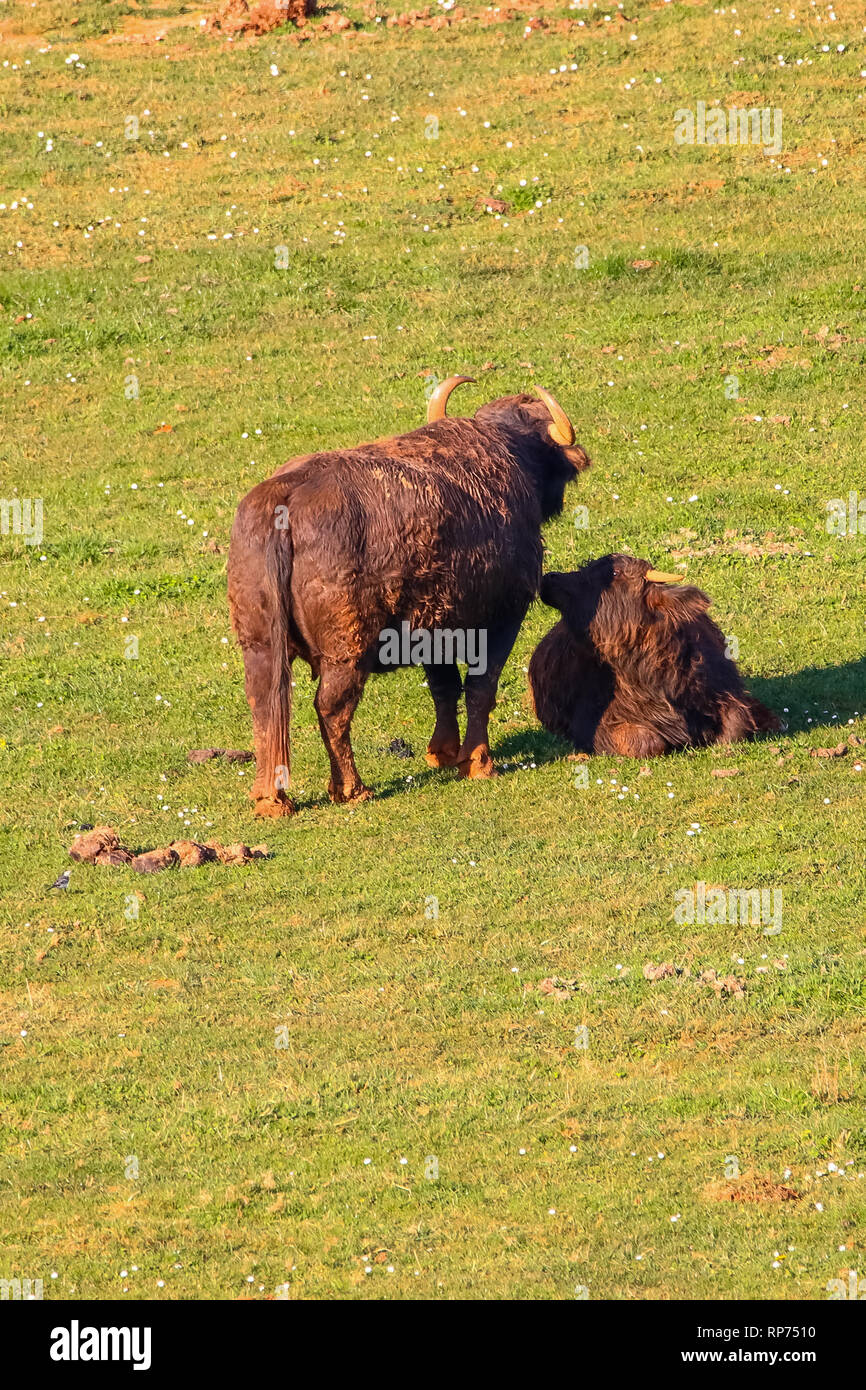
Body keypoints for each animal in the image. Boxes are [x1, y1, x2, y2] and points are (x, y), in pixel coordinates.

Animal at [228, 378, 590, 815]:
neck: (510, 453)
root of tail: (285, 502)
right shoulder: (502, 618)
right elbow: (480, 688)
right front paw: (477, 761)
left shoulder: (433, 629)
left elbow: (444, 687)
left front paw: (443, 753)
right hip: (347, 655)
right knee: (332, 709)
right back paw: (352, 789)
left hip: (260, 647)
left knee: (266, 707)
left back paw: (271, 799)